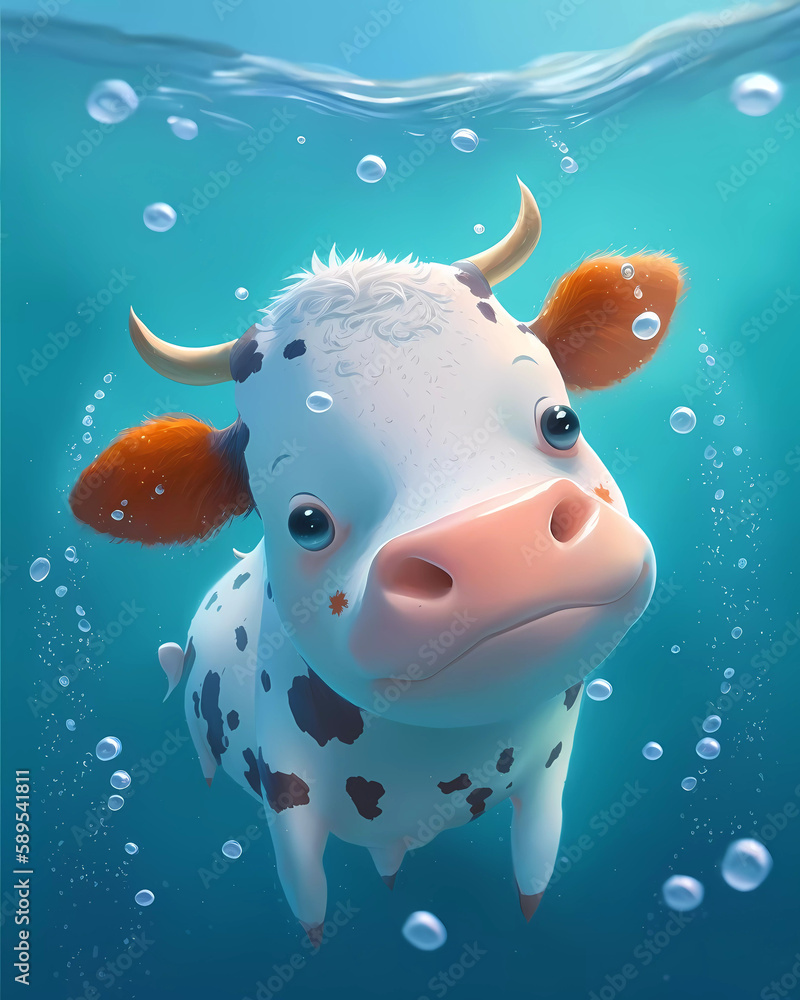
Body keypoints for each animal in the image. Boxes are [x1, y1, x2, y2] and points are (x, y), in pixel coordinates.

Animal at [70, 180, 684, 945]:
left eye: (561, 422)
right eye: (306, 520)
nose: (495, 545)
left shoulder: (551, 770)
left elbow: (535, 864)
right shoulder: (288, 804)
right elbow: (308, 904)